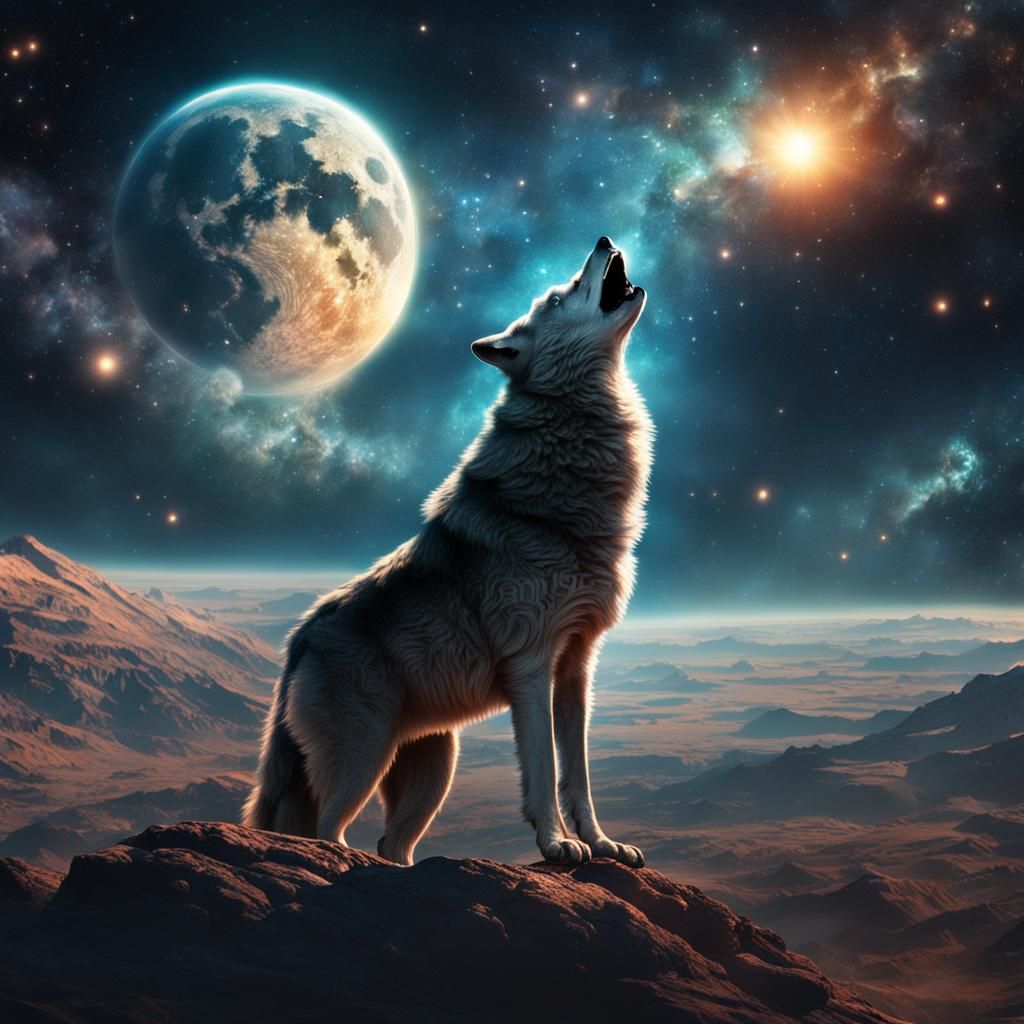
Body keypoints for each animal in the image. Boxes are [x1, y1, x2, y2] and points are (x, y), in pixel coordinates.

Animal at [243, 236, 653, 867]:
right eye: (558, 297)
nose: (604, 241)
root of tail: (298, 638)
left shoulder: (577, 668)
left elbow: (577, 774)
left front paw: (602, 843)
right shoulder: (531, 666)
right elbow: (542, 770)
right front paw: (557, 844)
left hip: (433, 769)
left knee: (392, 843)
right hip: (363, 758)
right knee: (325, 832)